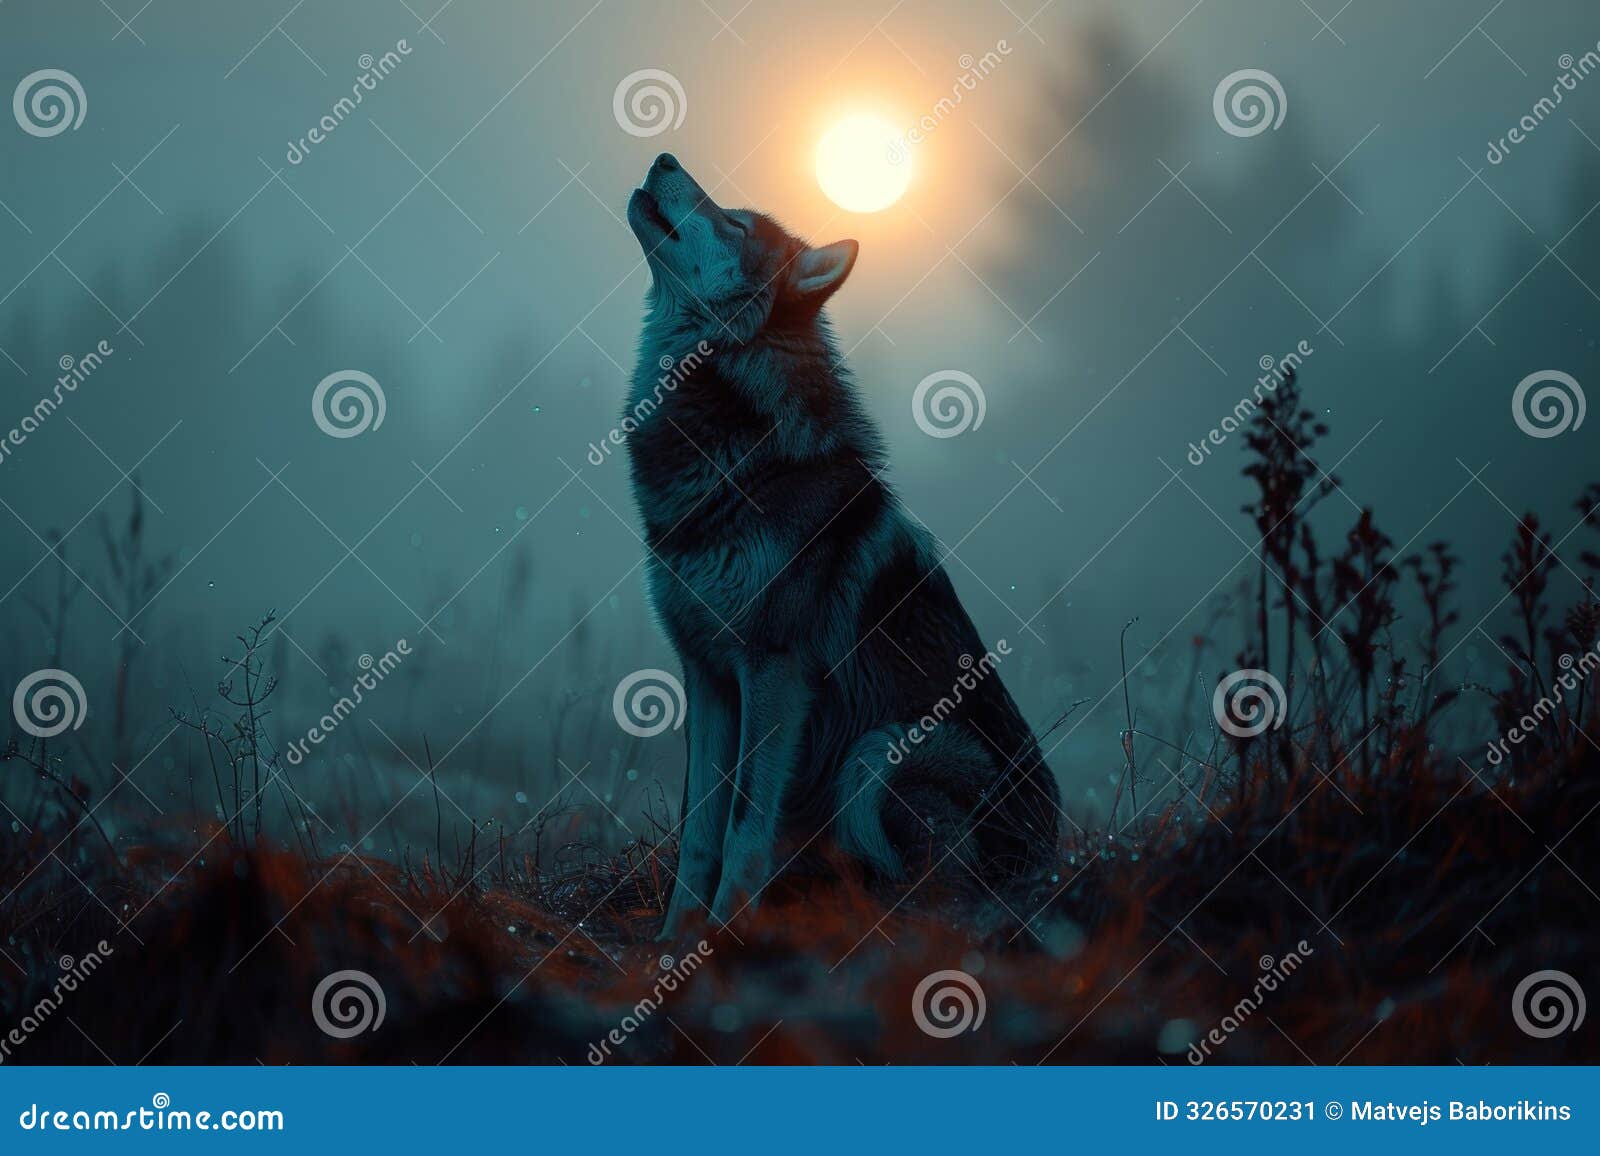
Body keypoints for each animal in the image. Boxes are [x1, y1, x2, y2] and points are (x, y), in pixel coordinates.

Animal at [623, 154, 1061, 937]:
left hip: (878, 752)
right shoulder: (705, 676)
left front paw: (727, 937)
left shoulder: (774, 671)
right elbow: (697, 833)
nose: (665, 158)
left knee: (943, 896)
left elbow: (743, 828)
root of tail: (1059, 855)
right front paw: (672, 943)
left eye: (734, 224)